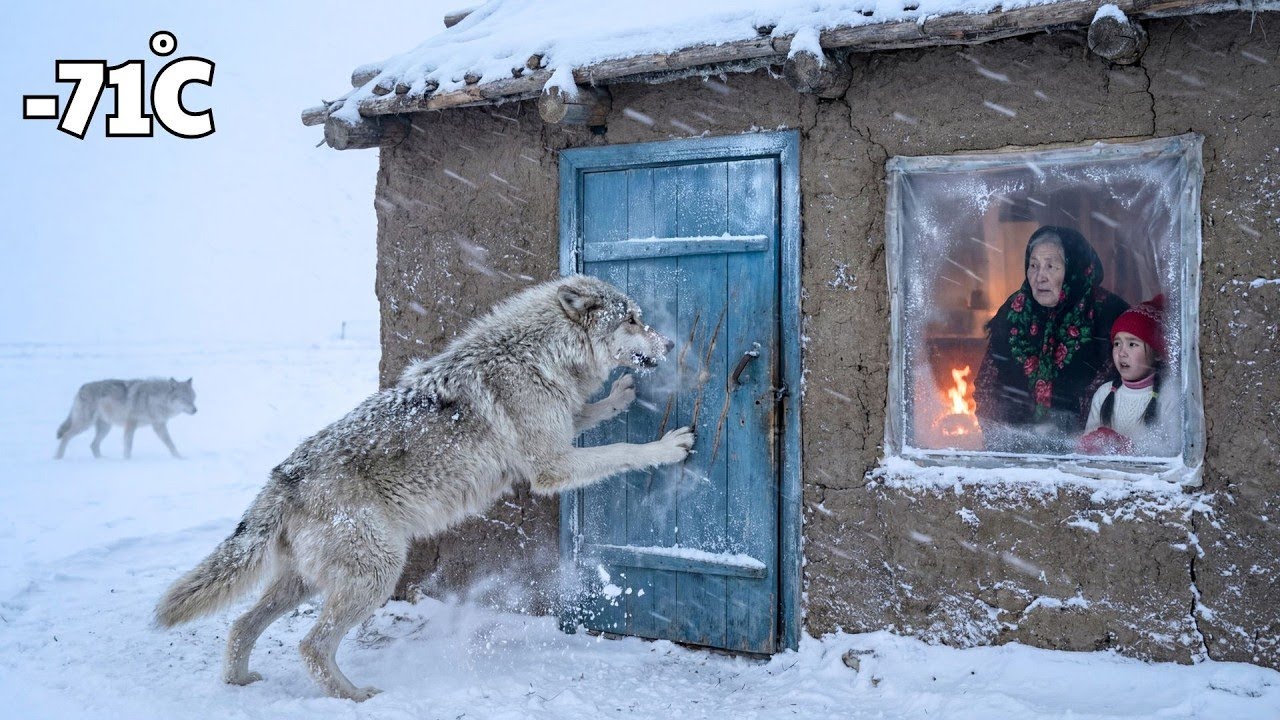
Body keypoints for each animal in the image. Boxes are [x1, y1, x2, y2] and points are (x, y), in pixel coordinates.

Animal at [55, 378, 197, 459]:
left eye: (193, 398)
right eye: (184, 399)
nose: (195, 410)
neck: (153, 399)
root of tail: (81, 387)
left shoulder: (159, 426)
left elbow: (170, 443)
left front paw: (179, 457)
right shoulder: (130, 424)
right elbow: (128, 446)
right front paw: (127, 461)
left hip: (105, 428)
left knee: (93, 445)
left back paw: (102, 460)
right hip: (85, 425)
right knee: (66, 436)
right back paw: (58, 458)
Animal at [154, 275, 695, 701]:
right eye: (632, 319)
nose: (669, 346)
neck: (538, 355)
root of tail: (283, 477)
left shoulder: (560, 431)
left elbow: (593, 412)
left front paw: (620, 395)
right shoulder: (551, 468)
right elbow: (621, 450)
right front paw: (667, 447)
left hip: (306, 582)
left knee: (242, 625)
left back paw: (239, 683)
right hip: (377, 573)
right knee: (310, 645)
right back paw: (356, 697)